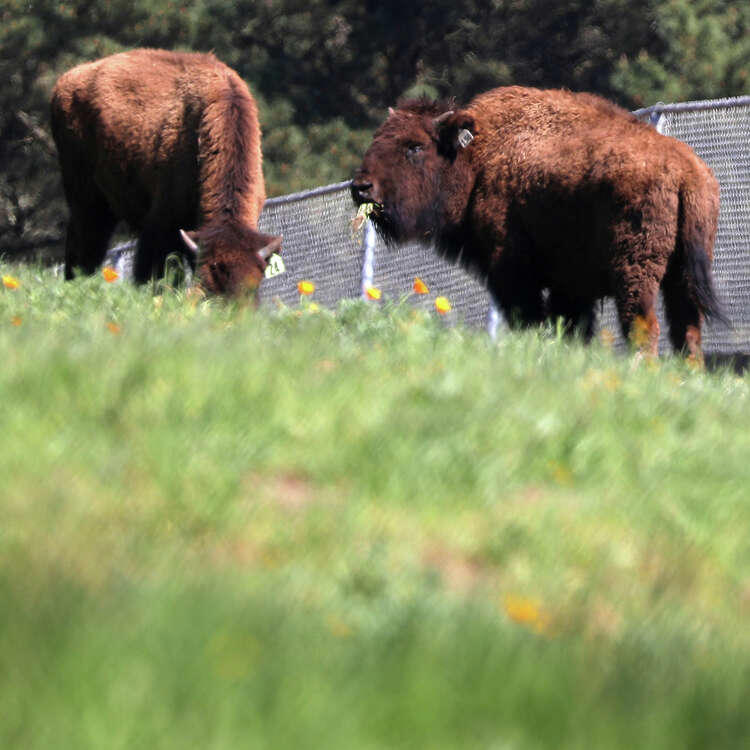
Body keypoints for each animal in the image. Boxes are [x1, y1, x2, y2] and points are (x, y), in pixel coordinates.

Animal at [51, 48, 281, 295]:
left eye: (253, 288)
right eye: (207, 286)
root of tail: (66, 80)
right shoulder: (160, 226)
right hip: (85, 199)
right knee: (85, 245)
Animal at [352, 87, 724, 358]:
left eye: (414, 146)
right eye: (376, 138)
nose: (361, 187)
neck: (479, 157)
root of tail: (685, 171)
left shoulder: (513, 273)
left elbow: (530, 320)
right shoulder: (570, 285)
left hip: (636, 271)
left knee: (644, 326)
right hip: (683, 273)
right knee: (687, 330)